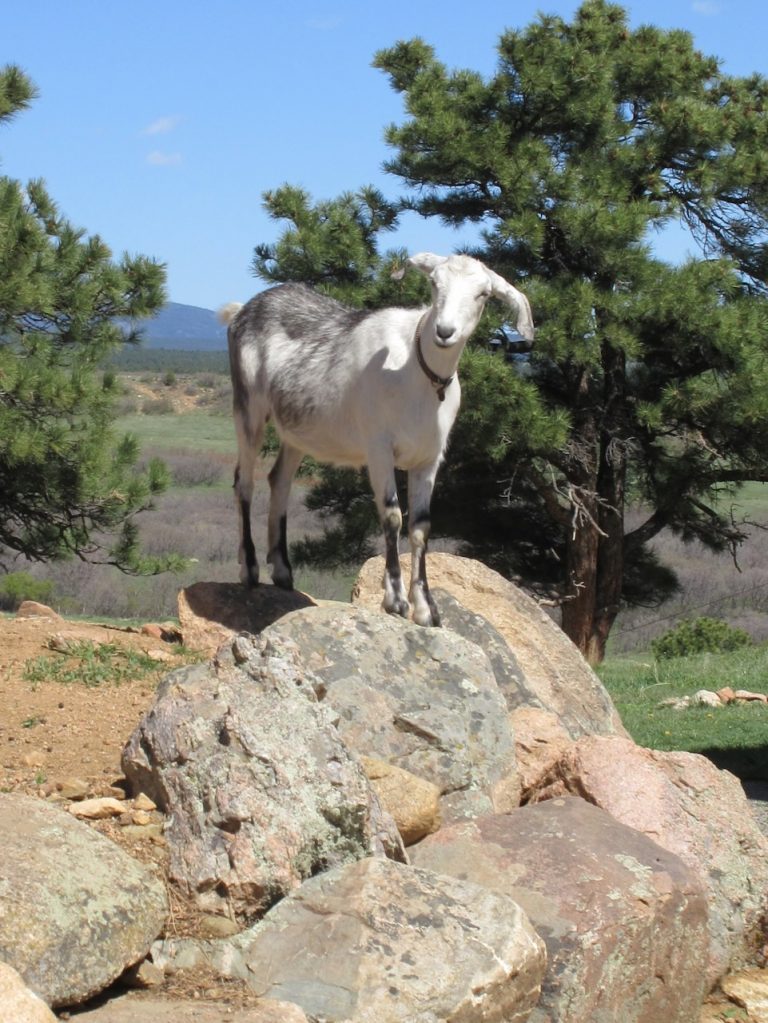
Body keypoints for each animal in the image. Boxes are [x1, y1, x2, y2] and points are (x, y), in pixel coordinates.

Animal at [219, 253, 534, 627]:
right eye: (434, 283)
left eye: (483, 294)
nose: (444, 331)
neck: (417, 372)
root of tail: (242, 311)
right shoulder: (379, 448)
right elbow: (393, 515)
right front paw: (395, 600)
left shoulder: (429, 458)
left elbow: (421, 526)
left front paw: (426, 609)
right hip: (248, 406)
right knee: (244, 481)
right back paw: (250, 569)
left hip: (296, 429)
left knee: (279, 480)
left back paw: (282, 571)